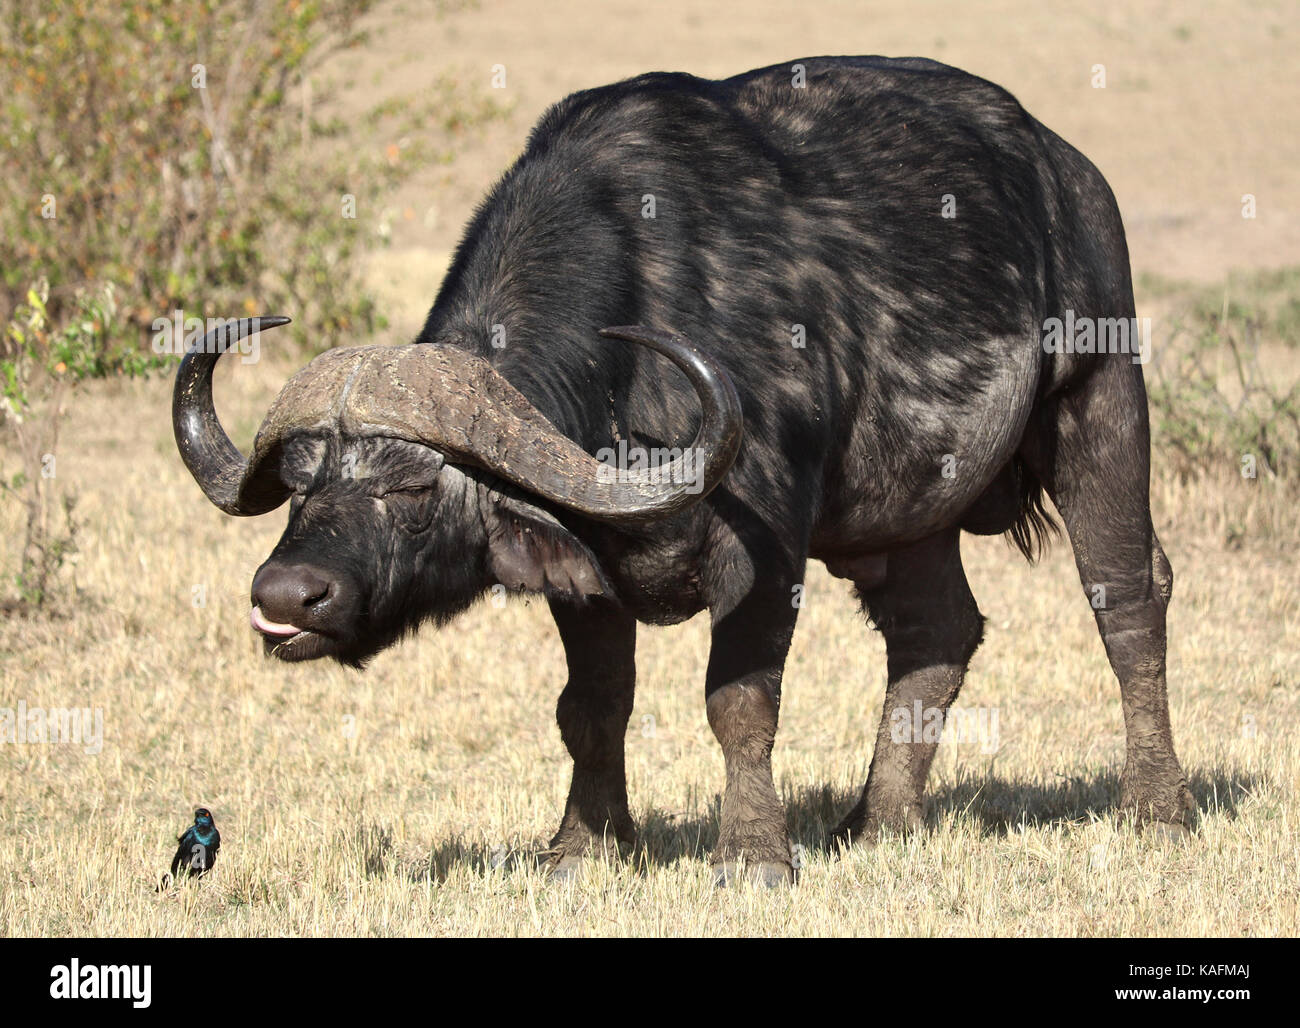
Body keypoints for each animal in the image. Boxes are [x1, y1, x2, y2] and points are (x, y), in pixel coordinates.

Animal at [173, 56, 1194, 884]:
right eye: (301, 480)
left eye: (414, 488)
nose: (286, 595)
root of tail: (1069, 172)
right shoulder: (584, 574)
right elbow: (590, 708)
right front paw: (582, 848)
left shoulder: (766, 557)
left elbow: (737, 704)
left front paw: (753, 856)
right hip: (906, 514)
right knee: (936, 632)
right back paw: (876, 822)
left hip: (1102, 397)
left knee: (1127, 597)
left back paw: (1157, 808)